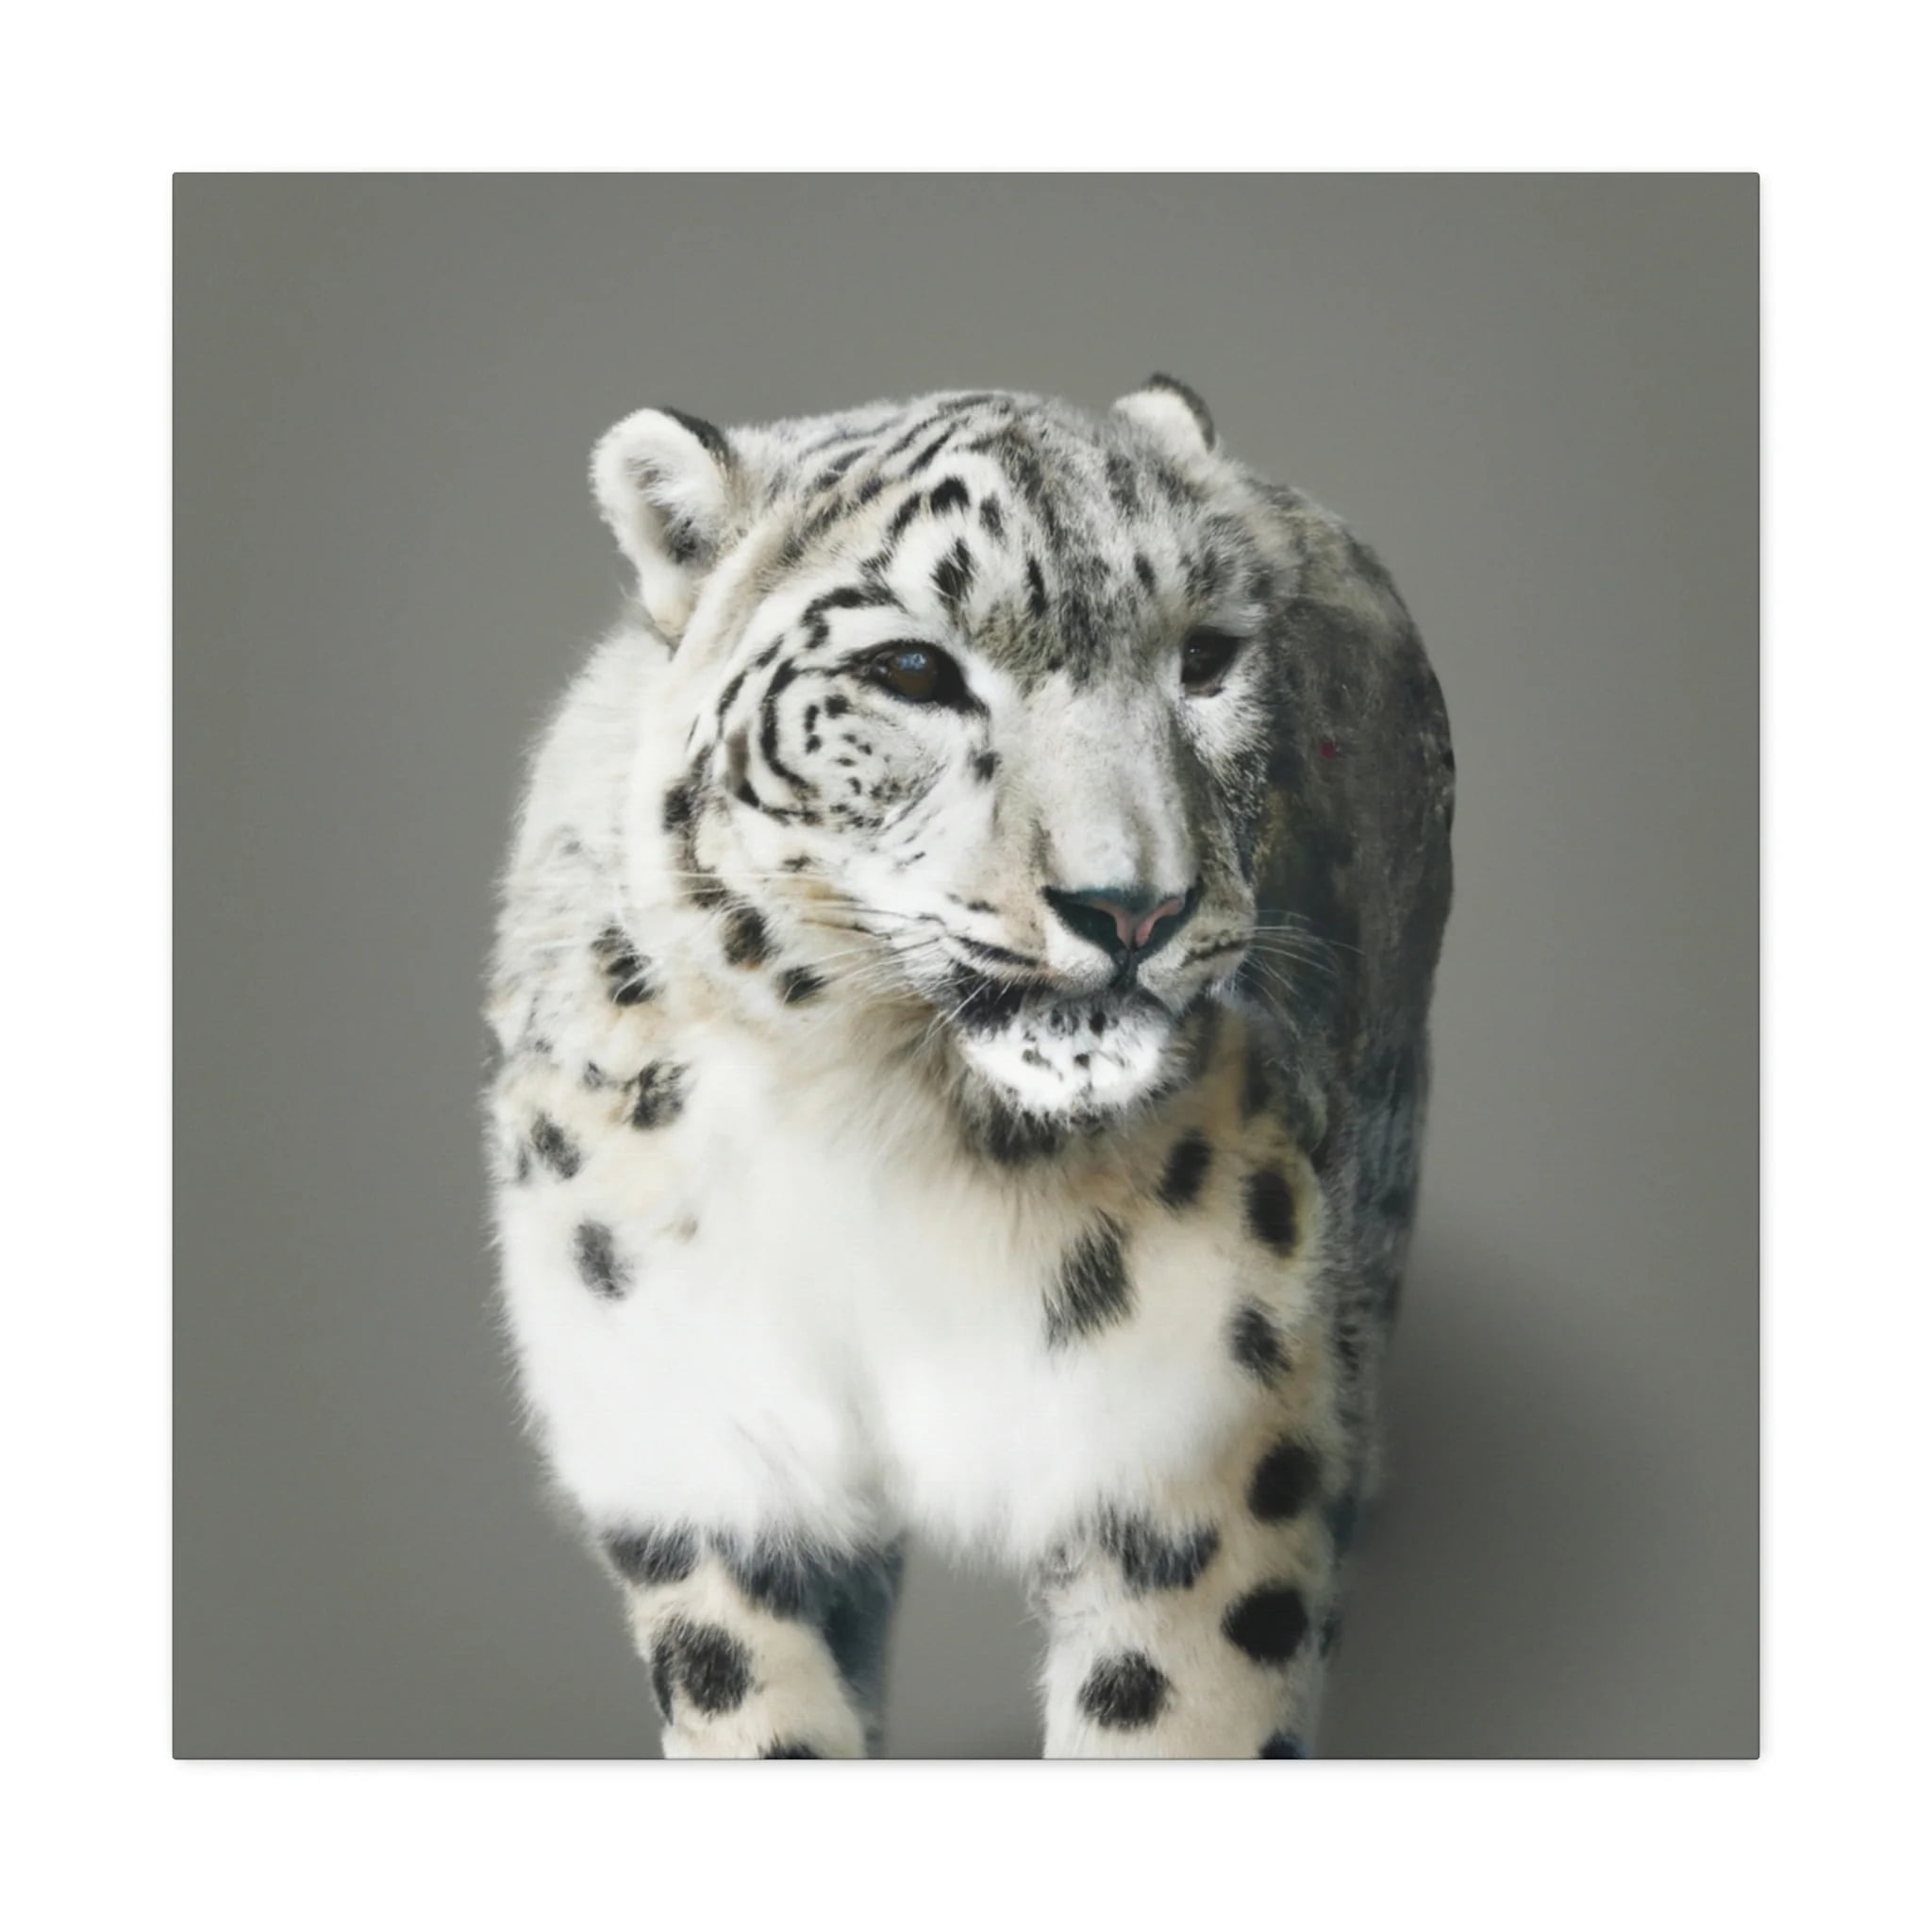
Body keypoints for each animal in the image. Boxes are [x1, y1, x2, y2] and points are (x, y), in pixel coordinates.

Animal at [483, 376, 1454, 1757]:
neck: (885, 1130)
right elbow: (754, 1706)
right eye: (910, 669)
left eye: (1205, 659)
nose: (1130, 908)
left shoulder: (1200, 1450)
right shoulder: (701, 1439)